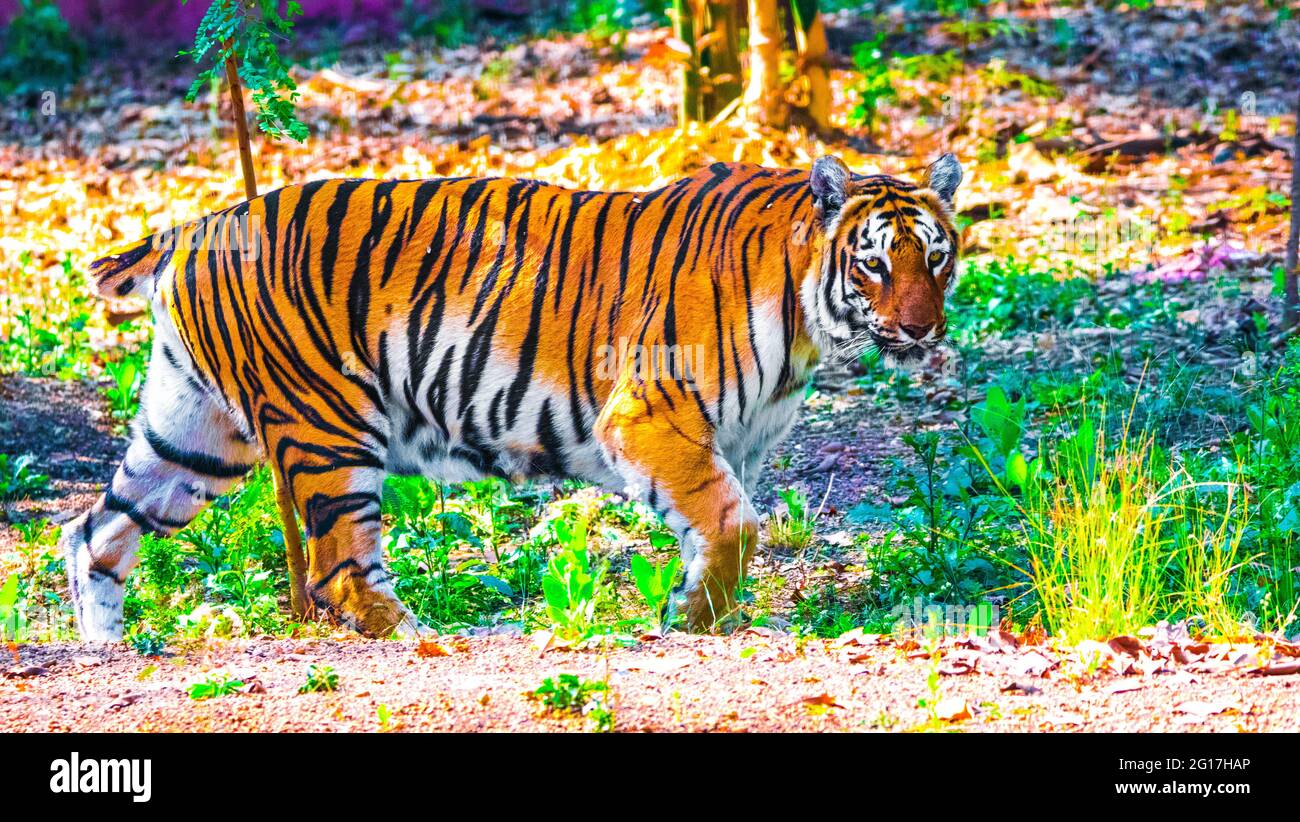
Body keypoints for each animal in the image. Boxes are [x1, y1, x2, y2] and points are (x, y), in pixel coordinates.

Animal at [61, 154, 963, 640]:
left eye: (937, 257)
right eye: (874, 263)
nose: (920, 329)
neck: (808, 319)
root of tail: (199, 224)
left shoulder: (728, 441)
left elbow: (719, 526)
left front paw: (701, 609)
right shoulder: (650, 412)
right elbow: (734, 526)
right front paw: (691, 620)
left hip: (194, 434)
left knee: (94, 528)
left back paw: (108, 647)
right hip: (326, 428)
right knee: (339, 569)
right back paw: (423, 640)